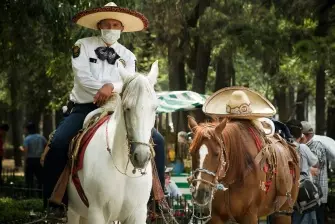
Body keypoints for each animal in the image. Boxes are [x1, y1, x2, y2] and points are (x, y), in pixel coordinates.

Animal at [67, 60, 160, 223]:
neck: (123, 168)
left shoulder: (137, 213)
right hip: (74, 212)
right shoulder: (97, 213)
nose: (141, 156)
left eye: (154, 108)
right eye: (127, 108)